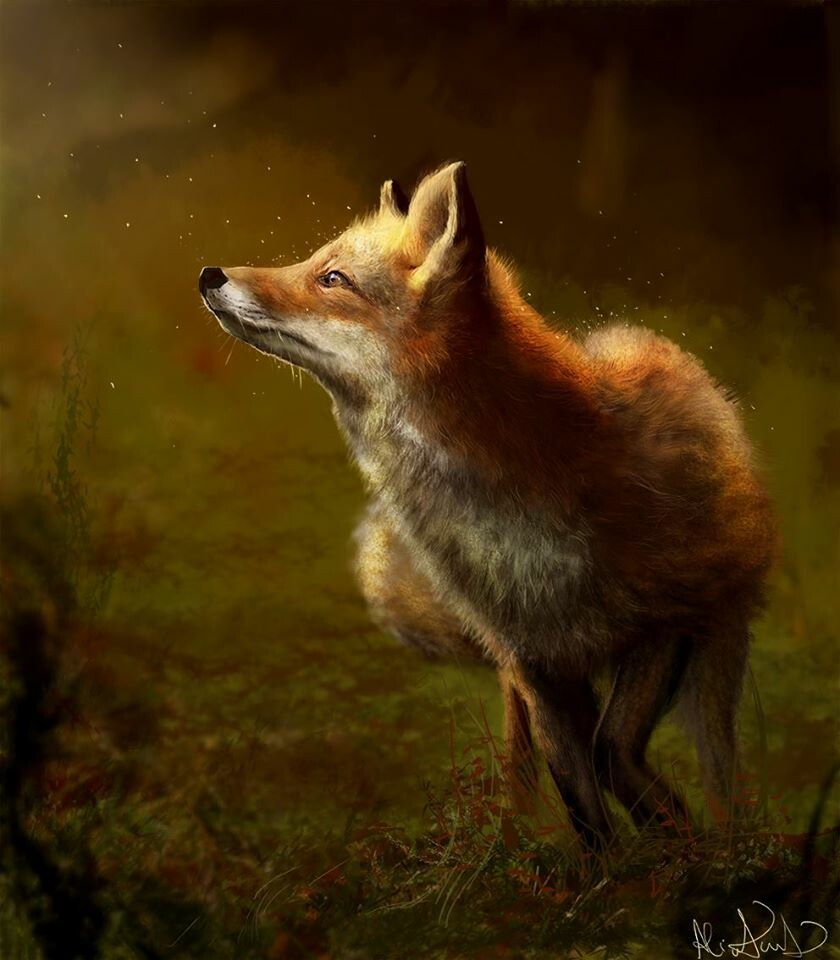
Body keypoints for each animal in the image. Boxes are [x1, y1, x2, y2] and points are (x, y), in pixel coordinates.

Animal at [199, 162, 777, 849]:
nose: (209, 275)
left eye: (332, 278)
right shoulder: (533, 661)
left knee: (717, 767)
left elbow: (613, 754)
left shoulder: (665, 620)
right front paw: (624, 869)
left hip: (714, 651)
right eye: (314, 261)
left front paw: (677, 848)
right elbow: (586, 813)